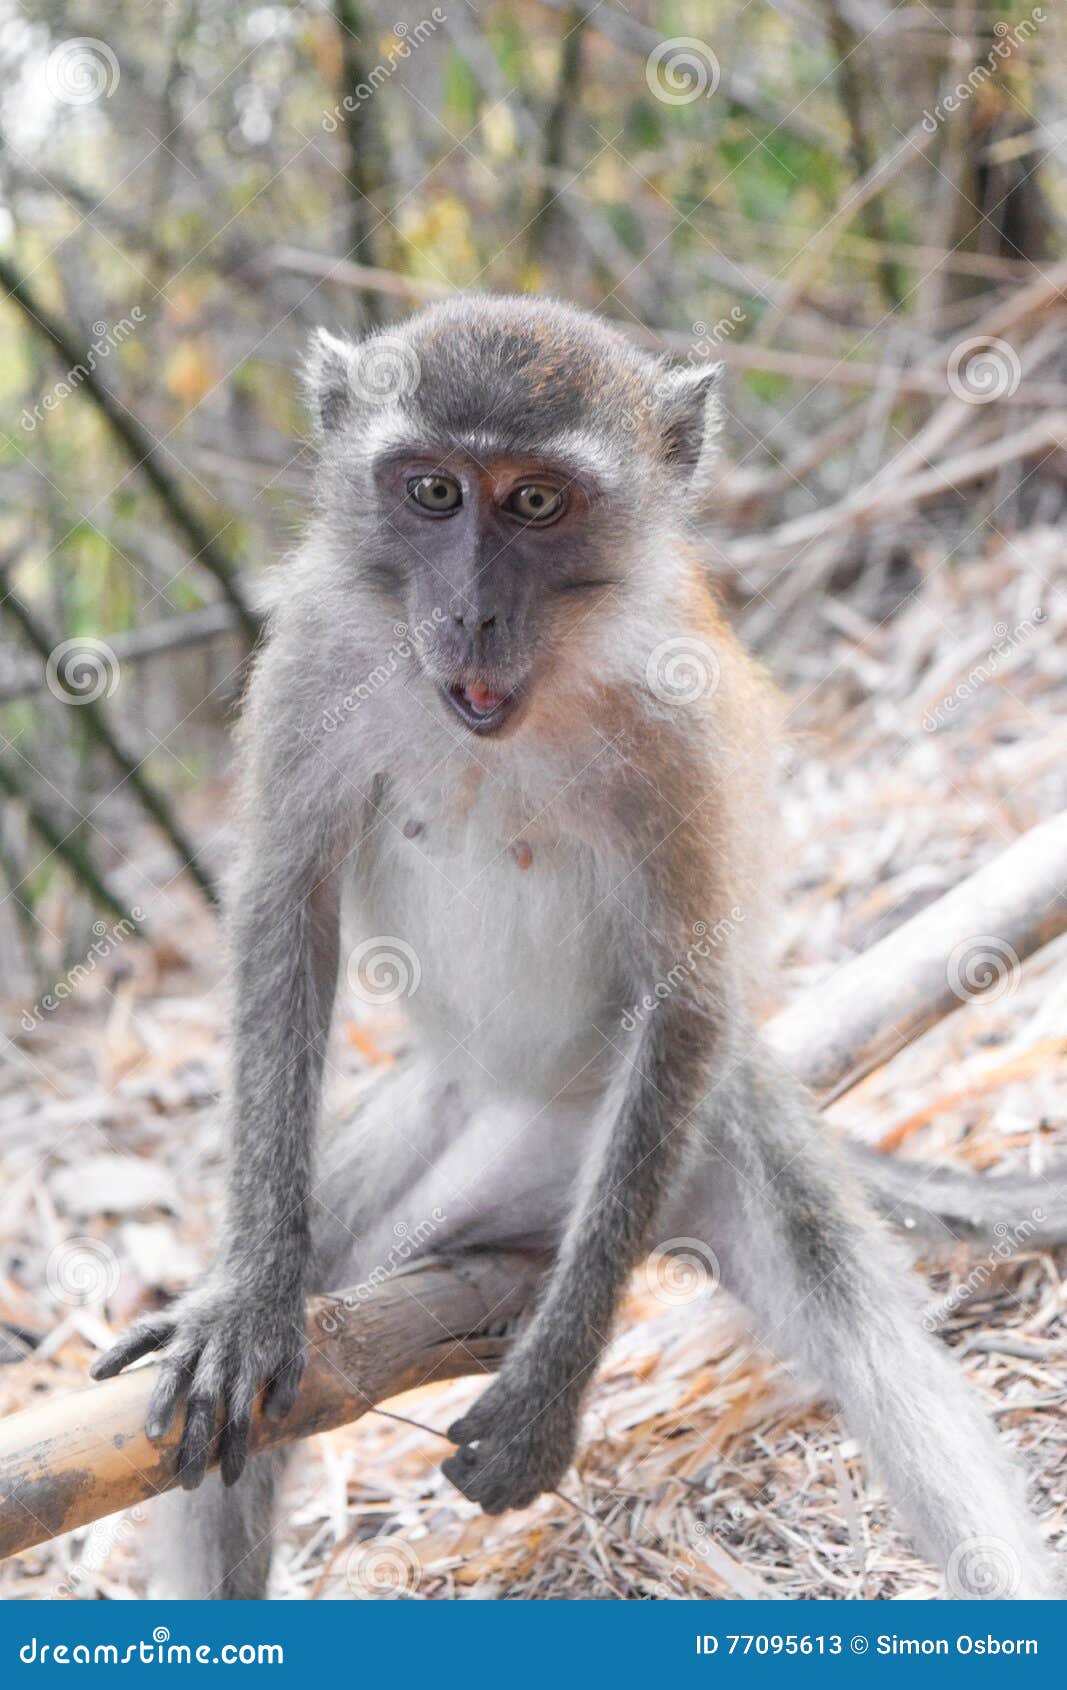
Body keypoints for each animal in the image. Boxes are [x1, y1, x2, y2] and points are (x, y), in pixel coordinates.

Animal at [92, 295, 1064, 1600]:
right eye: (433, 492)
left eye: (536, 503)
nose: (471, 612)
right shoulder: (311, 653)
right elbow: (284, 913)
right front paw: (248, 1288)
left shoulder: (682, 710)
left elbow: (687, 981)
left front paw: (550, 1386)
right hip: (423, 1168)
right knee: (275, 1362)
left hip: (701, 1131)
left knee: (861, 1326)